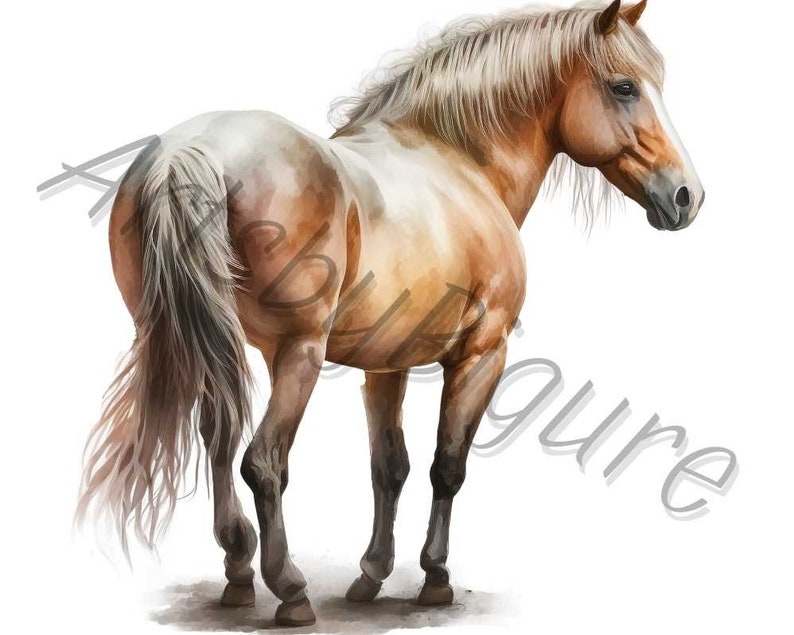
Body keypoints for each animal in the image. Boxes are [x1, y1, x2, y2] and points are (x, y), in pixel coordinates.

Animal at [77, 0, 703, 627]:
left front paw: (372, 575)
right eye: (624, 87)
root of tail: (192, 151)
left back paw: (238, 573)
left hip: (200, 342)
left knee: (220, 440)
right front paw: (435, 577)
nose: (686, 196)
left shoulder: (385, 365)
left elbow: (389, 467)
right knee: (262, 461)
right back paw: (290, 590)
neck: (461, 161)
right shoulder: (483, 354)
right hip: (296, 354)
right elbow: (446, 465)